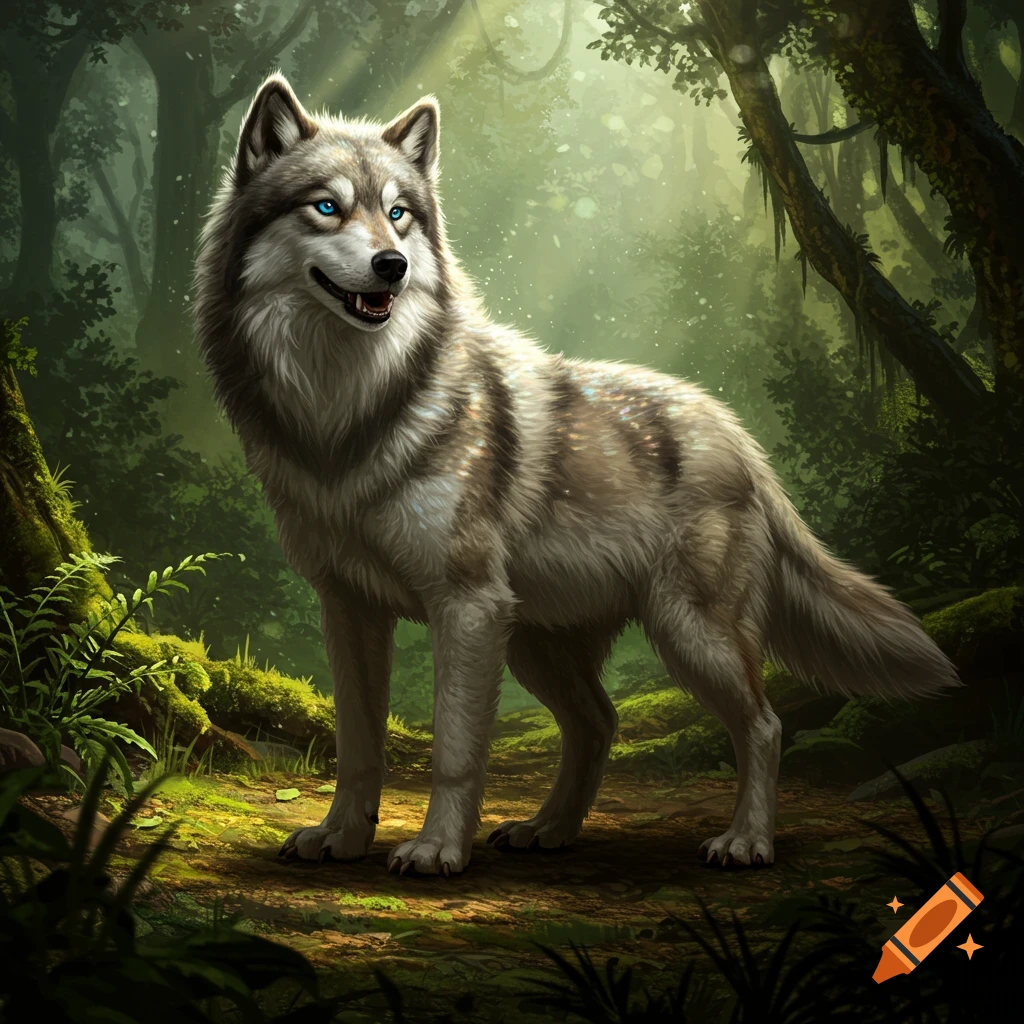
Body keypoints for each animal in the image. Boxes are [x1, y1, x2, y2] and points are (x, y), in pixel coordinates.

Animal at [193, 73, 960, 877]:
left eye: (399, 215)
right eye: (327, 207)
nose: (391, 266)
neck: (346, 412)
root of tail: (739, 436)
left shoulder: (465, 605)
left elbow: (455, 747)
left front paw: (437, 850)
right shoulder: (348, 608)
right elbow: (358, 744)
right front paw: (341, 838)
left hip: (685, 635)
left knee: (763, 724)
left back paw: (747, 842)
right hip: (541, 643)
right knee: (600, 722)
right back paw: (549, 829)